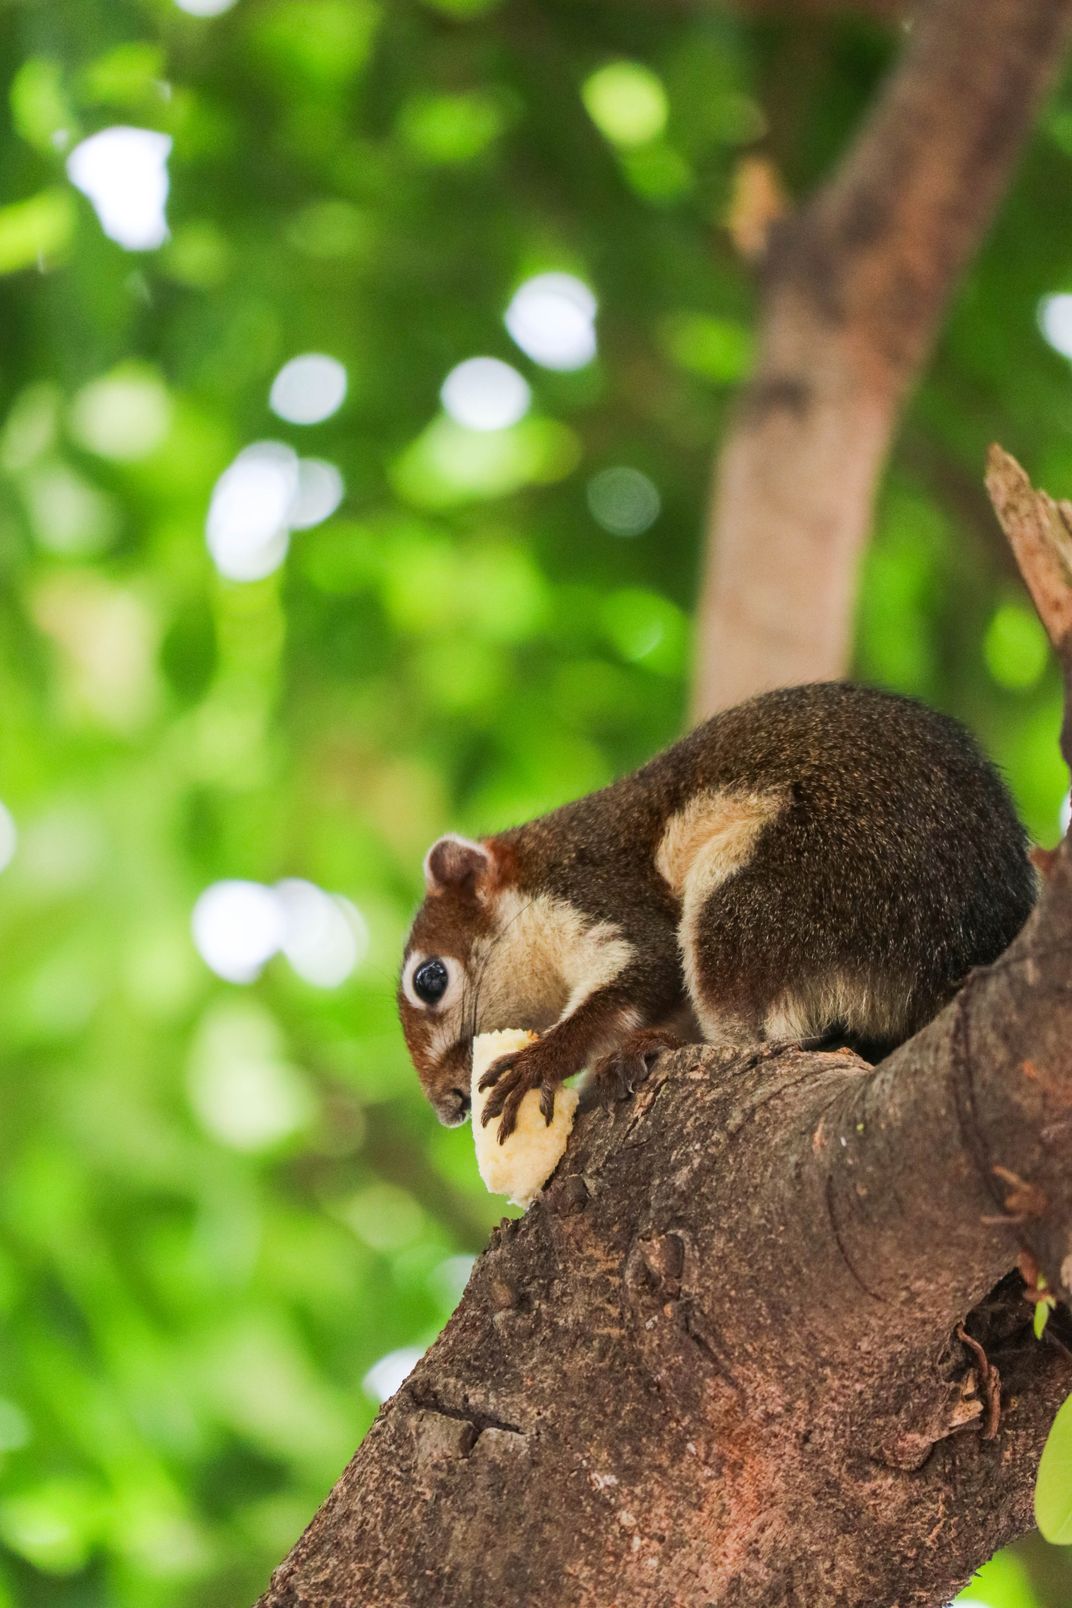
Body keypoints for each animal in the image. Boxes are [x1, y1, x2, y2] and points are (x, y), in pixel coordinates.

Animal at [398, 682, 1036, 1141]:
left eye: (429, 978)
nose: (449, 1108)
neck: (534, 875)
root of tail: (958, 952)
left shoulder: (599, 893)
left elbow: (643, 970)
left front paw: (540, 1060)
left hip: (766, 893)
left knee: (758, 1032)